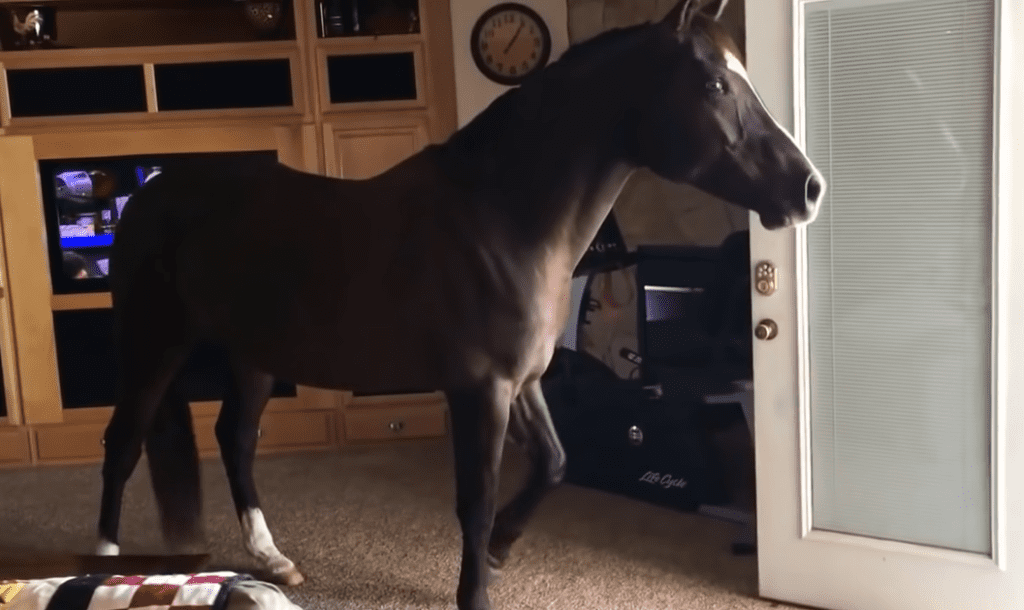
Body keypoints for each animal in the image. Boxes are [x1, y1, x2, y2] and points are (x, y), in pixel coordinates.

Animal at [95, 1, 824, 608]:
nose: (810, 188)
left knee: (236, 440)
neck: (504, 221)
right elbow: (475, 501)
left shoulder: (521, 382)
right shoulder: (480, 390)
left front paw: (499, 554)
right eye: (716, 86)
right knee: (124, 440)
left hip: (255, 354)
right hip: (155, 344)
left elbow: (554, 466)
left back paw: (273, 559)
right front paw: (476, 587)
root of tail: (149, 192)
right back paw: (105, 561)